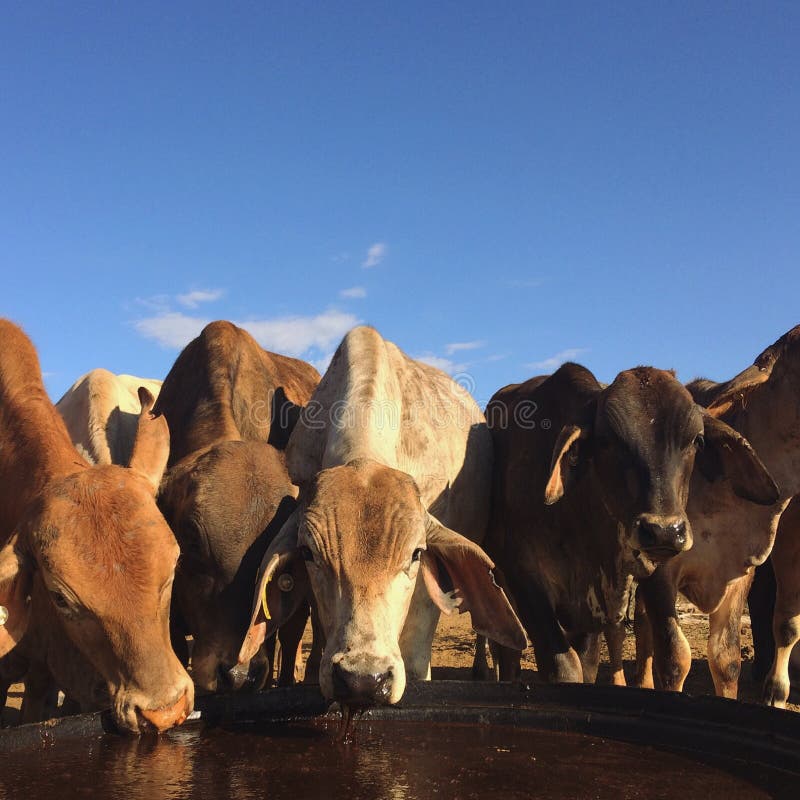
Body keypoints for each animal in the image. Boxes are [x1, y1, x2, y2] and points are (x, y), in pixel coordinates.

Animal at [480, 361, 777, 685]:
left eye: (696, 440)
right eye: (607, 441)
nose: (664, 531)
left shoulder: (593, 610)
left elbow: (587, 666)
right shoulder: (523, 576)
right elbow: (563, 666)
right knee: (505, 648)